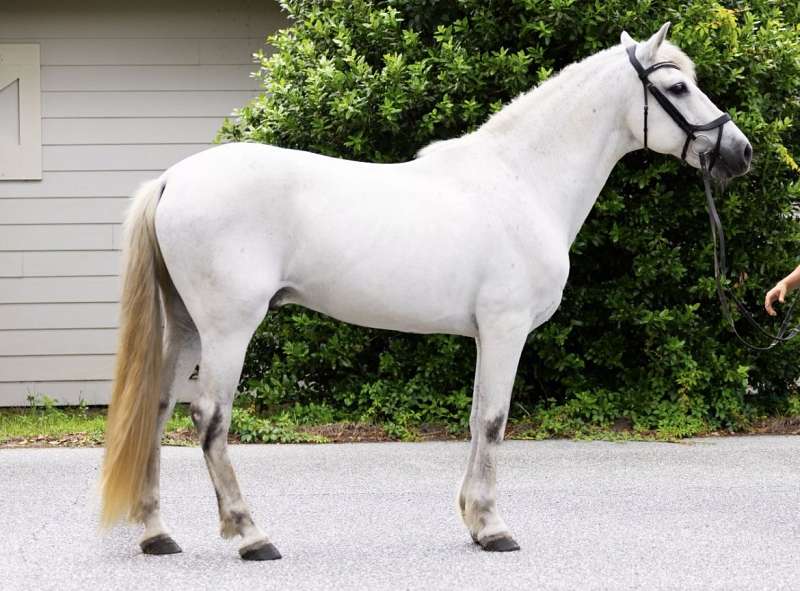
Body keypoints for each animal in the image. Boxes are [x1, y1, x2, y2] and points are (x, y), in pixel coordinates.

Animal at [101, 23, 752, 560]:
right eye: (678, 87)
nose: (741, 152)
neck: (522, 181)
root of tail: (173, 179)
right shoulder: (505, 328)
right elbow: (493, 420)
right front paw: (492, 527)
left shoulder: (487, 335)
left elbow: (476, 418)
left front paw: (474, 520)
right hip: (227, 328)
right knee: (210, 419)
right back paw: (251, 535)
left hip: (185, 326)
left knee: (157, 410)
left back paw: (157, 534)